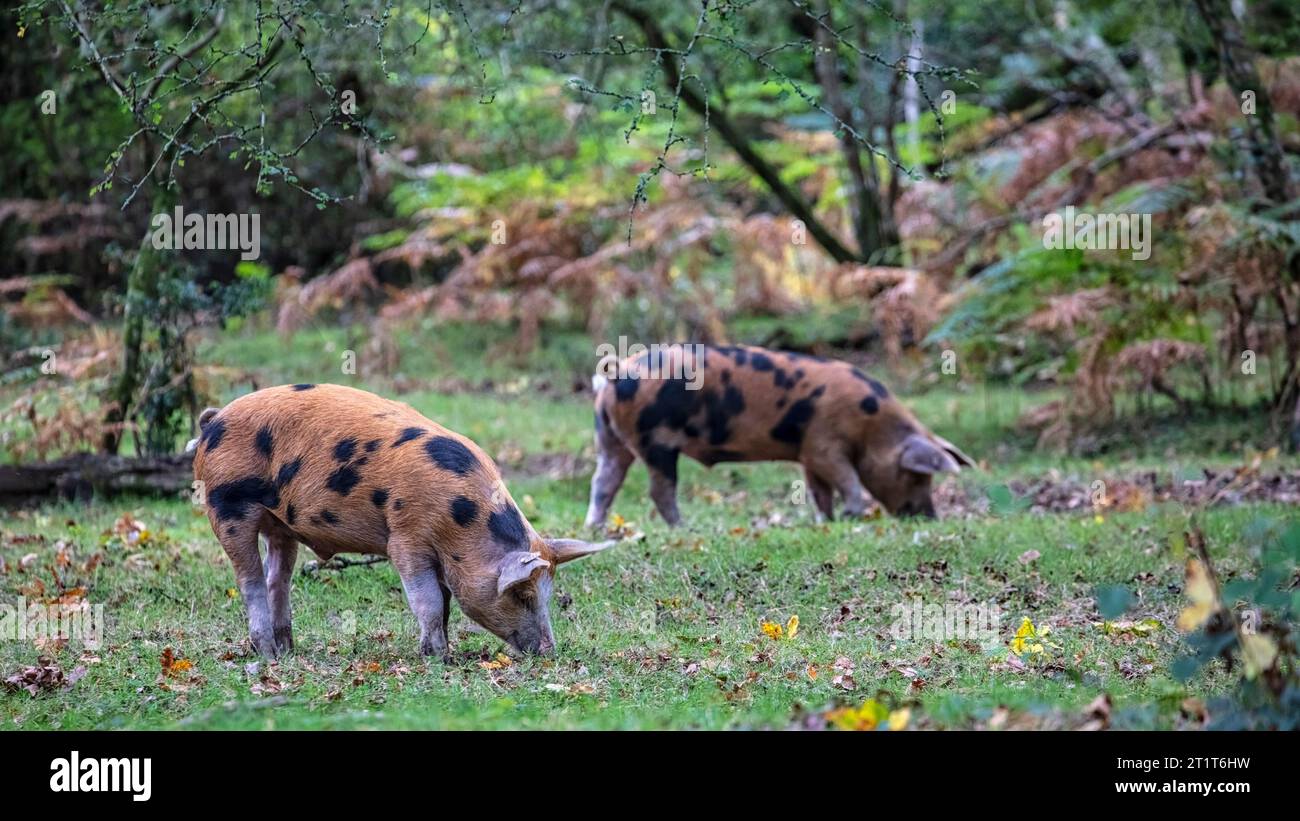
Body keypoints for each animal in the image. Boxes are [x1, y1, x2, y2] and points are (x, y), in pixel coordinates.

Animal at [190, 383, 614, 660]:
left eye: (548, 593)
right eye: (522, 594)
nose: (549, 651)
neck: (462, 521)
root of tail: (214, 420)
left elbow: (445, 602)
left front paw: (443, 650)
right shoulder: (405, 537)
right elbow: (428, 601)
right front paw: (438, 658)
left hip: (281, 525)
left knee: (278, 578)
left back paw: (288, 649)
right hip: (227, 506)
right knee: (250, 581)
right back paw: (266, 654)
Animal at [585, 344, 973, 527]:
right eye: (916, 476)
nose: (931, 517)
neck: (872, 426)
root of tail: (616, 372)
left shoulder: (808, 454)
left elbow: (820, 491)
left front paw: (827, 520)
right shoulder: (824, 445)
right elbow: (847, 479)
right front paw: (853, 515)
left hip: (610, 438)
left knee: (603, 482)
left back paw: (596, 528)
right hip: (655, 442)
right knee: (658, 489)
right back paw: (683, 527)